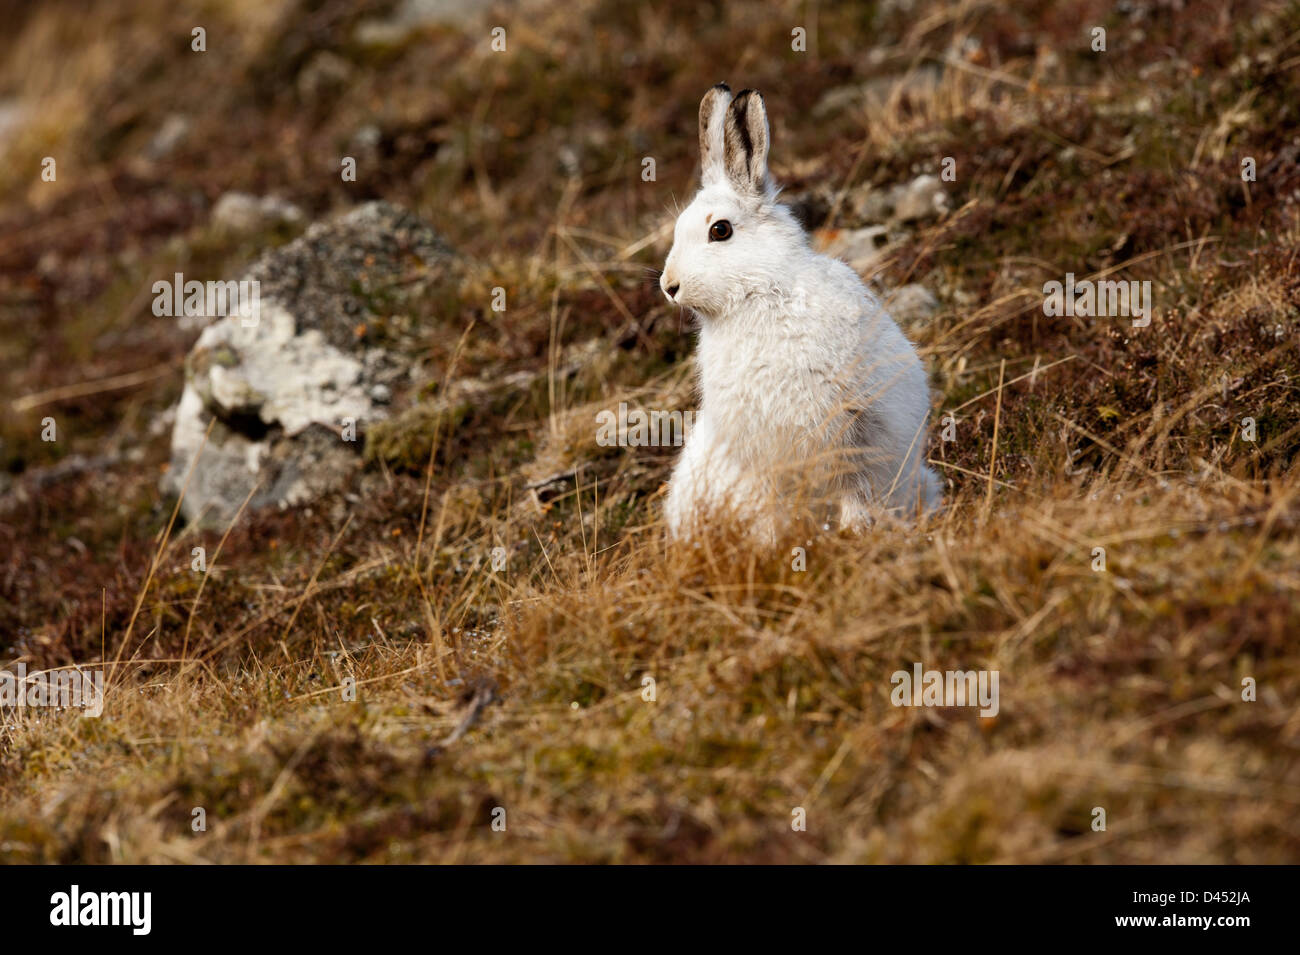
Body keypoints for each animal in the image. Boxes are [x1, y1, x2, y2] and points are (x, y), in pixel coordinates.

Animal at [660, 84, 942, 542]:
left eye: (720, 230)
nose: (669, 286)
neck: (758, 292)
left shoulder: (856, 429)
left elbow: (854, 492)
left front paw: (854, 531)